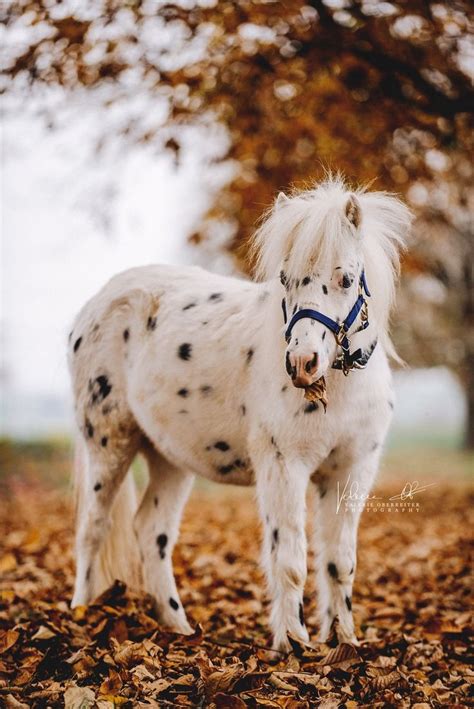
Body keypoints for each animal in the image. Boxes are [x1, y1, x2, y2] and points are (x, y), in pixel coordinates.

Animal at [68, 177, 411, 651]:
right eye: (285, 279)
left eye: (345, 278)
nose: (302, 363)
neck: (340, 390)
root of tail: (97, 304)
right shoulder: (284, 467)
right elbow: (290, 560)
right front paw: (293, 644)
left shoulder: (350, 472)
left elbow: (340, 563)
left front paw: (343, 643)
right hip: (109, 444)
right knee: (93, 529)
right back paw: (82, 613)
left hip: (169, 459)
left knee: (151, 532)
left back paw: (179, 627)